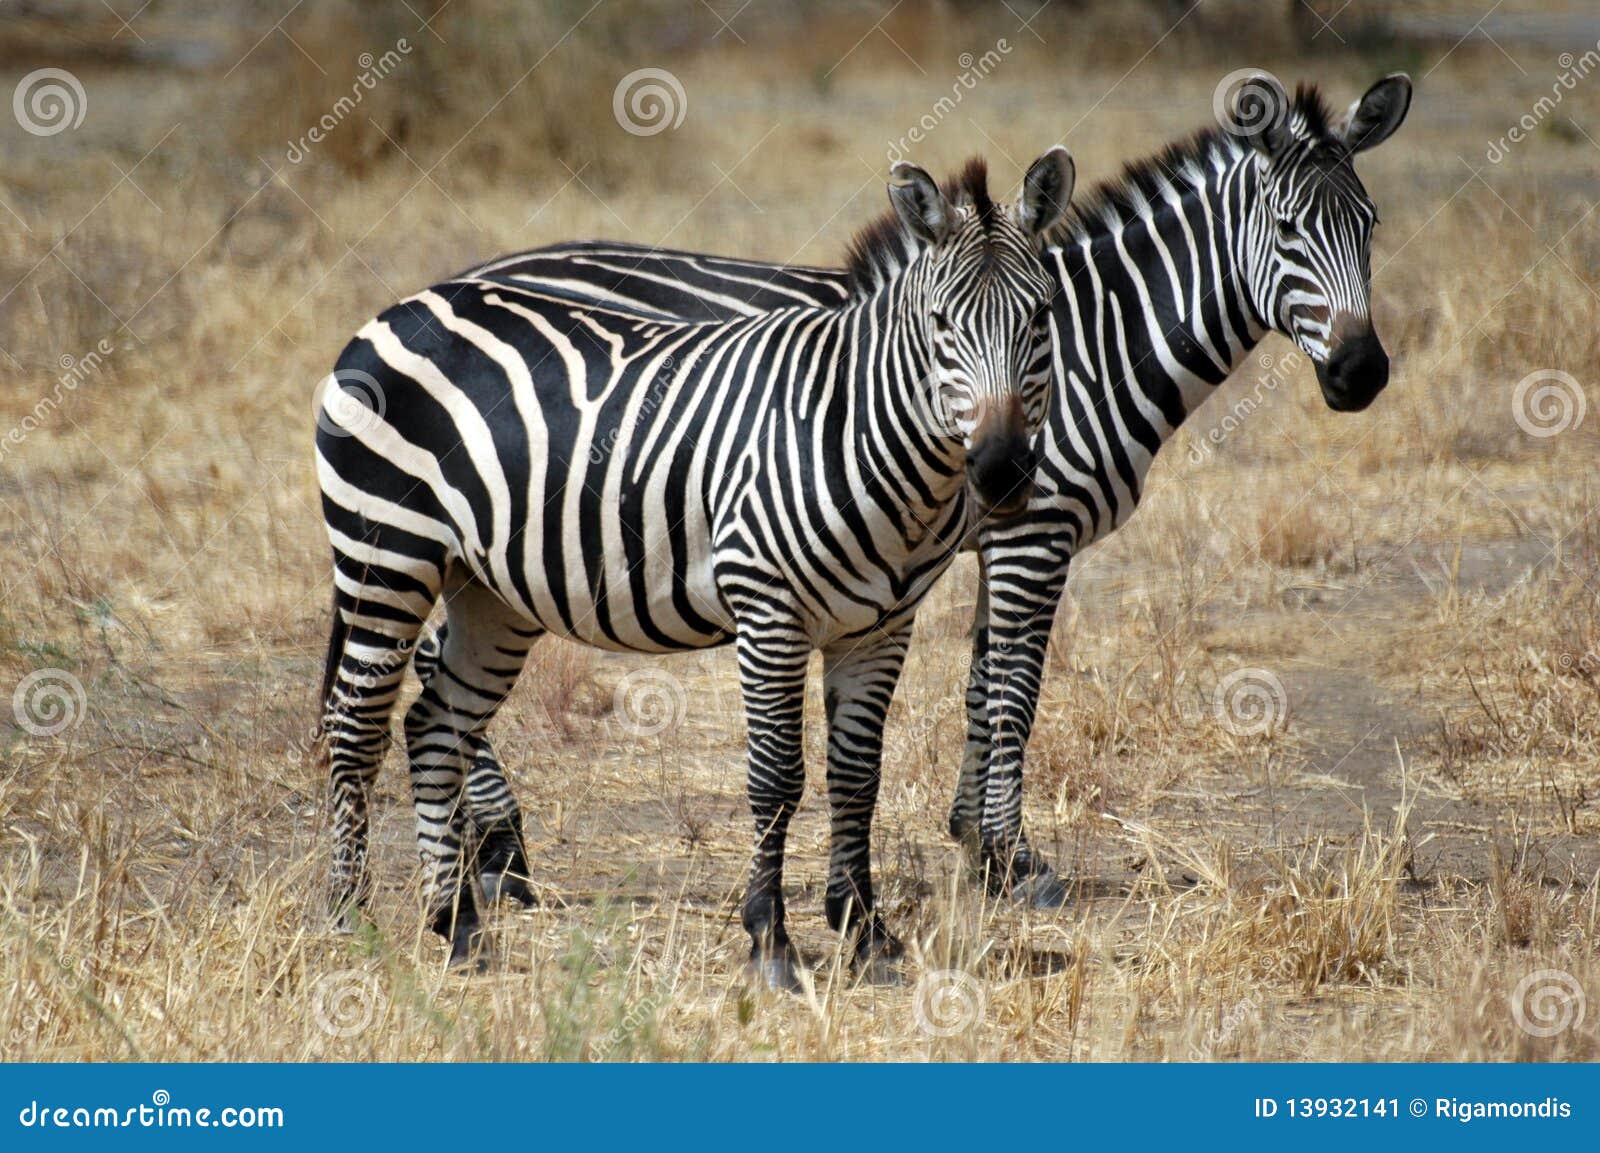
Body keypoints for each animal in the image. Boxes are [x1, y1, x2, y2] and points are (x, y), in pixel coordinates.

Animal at [314, 149, 1075, 984]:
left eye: (1042, 317)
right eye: (942, 326)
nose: (1003, 472)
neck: (858, 425)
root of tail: (399, 309)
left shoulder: (879, 626)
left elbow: (856, 774)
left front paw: (866, 931)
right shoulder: (769, 609)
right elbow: (777, 776)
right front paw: (771, 939)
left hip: (488, 592)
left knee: (434, 728)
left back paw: (458, 928)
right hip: (387, 551)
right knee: (355, 725)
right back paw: (350, 917)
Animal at [417, 73, 1413, 909]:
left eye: (1371, 224)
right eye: (1287, 231)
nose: (1361, 375)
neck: (1090, 340)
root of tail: (472, 275)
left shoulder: (1002, 531)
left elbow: (981, 683)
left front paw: (976, 839)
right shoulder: (1034, 528)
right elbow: (1016, 688)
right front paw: (1010, 857)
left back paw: (485, 849)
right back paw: (497, 849)